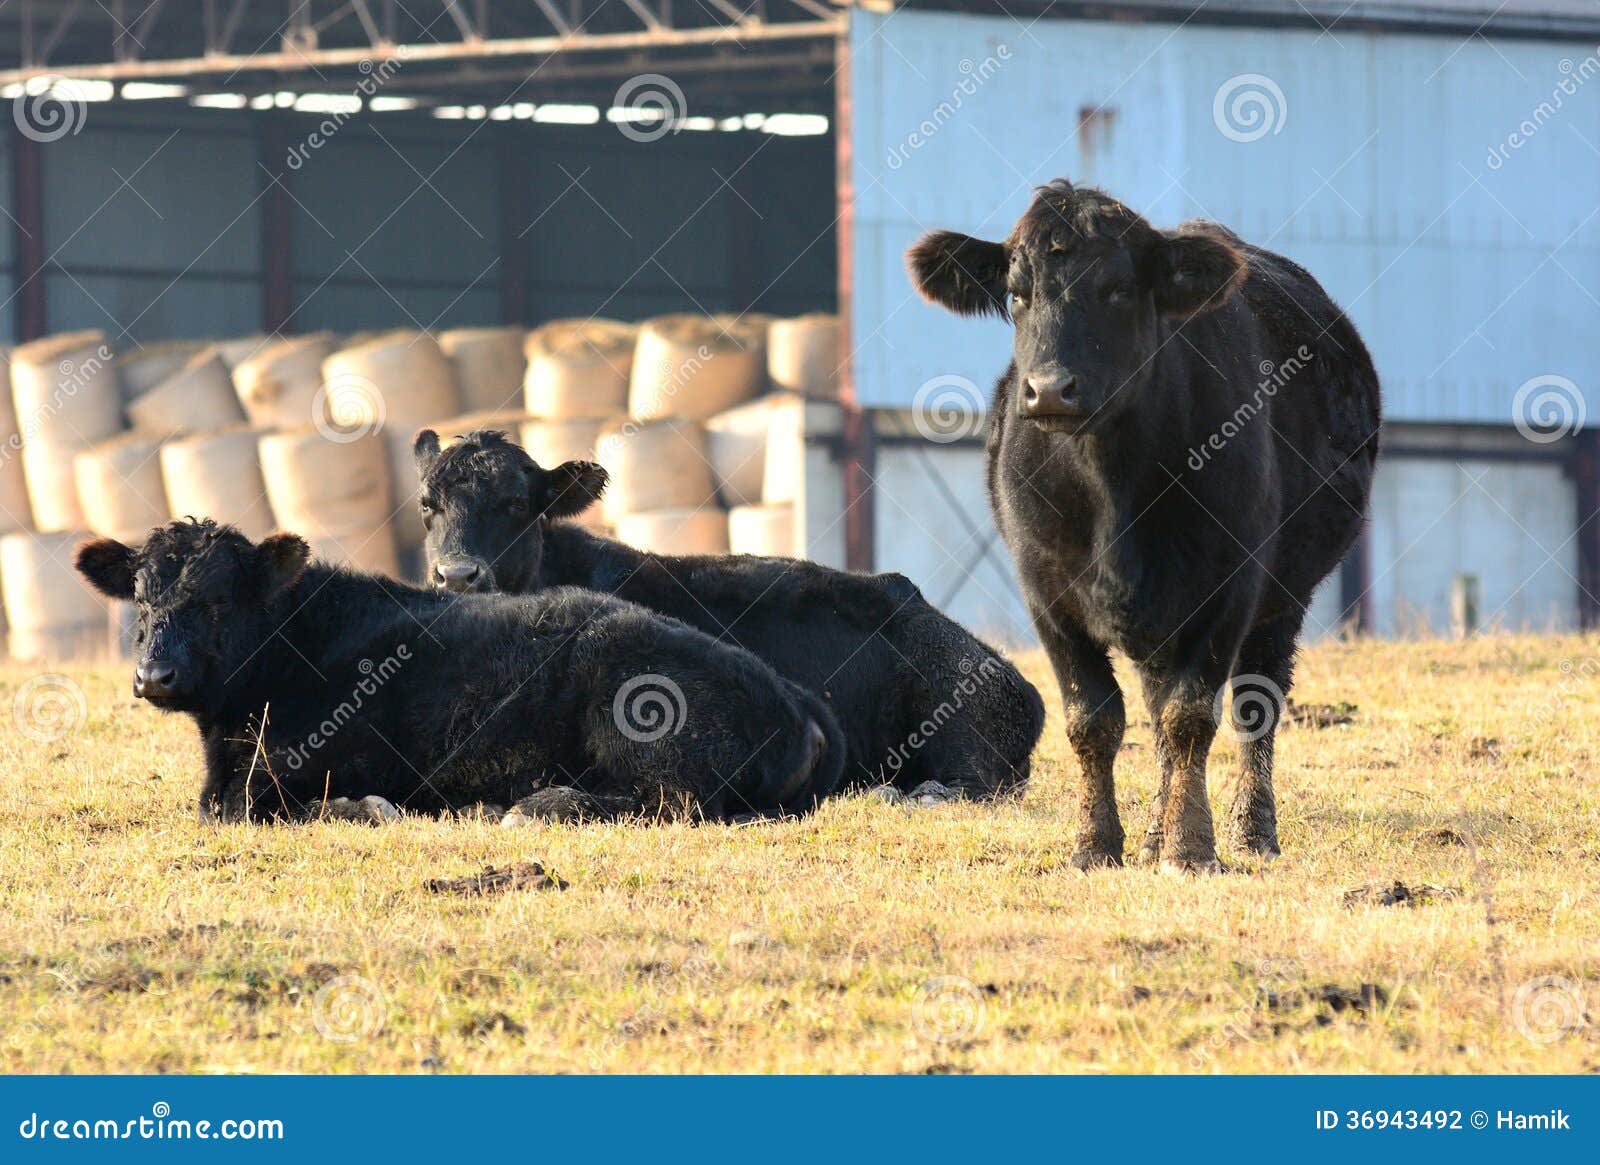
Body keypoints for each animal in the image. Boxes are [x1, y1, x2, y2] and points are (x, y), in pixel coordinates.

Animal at [74, 518, 845, 825]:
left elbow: (259, 808)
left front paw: (367, 809)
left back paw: (530, 806)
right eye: (141, 597)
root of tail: (796, 700)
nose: (154, 675)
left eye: (216, 599)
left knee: (669, 803)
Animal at [907, 179, 1380, 873]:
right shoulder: (1046, 592)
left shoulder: (1230, 587)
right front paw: (1096, 844)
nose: (1049, 390)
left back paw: (1251, 832)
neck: (1113, 490)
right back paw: (1156, 830)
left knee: (1253, 705)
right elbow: (1093, 720)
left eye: (1120, 290)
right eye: (1017, 294)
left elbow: (1192, 718)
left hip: (1282, 600)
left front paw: (1192, 848)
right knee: (1156, 711)